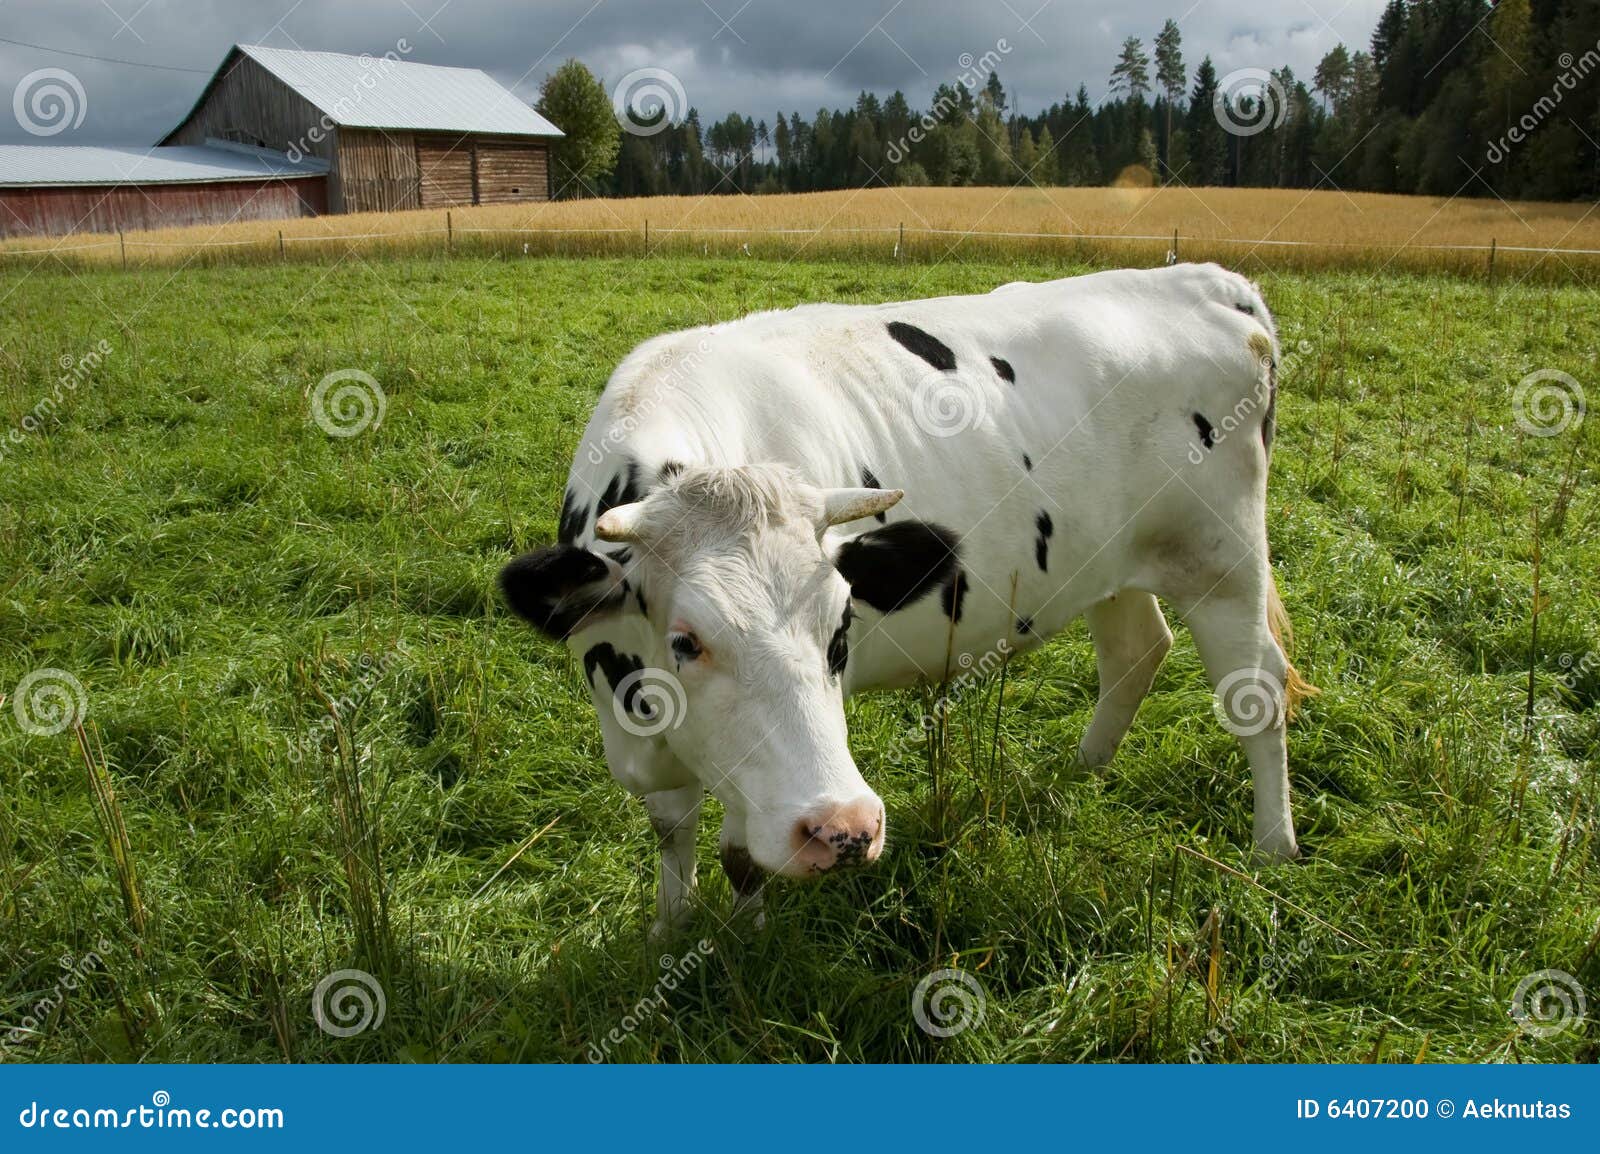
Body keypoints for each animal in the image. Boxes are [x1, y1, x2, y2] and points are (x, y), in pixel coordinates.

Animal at [499, 262, 1315, 937]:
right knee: (1136, 650)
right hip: (1110, 563)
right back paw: (1077, 772)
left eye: (841, 632)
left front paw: (745, 943)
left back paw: (1272, 848)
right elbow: (672, 833)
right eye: (685, 641)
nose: (846, 828)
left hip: (1222, 561)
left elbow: (741, 853)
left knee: (1256, 693)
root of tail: (1208, 279)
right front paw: (670, 932)